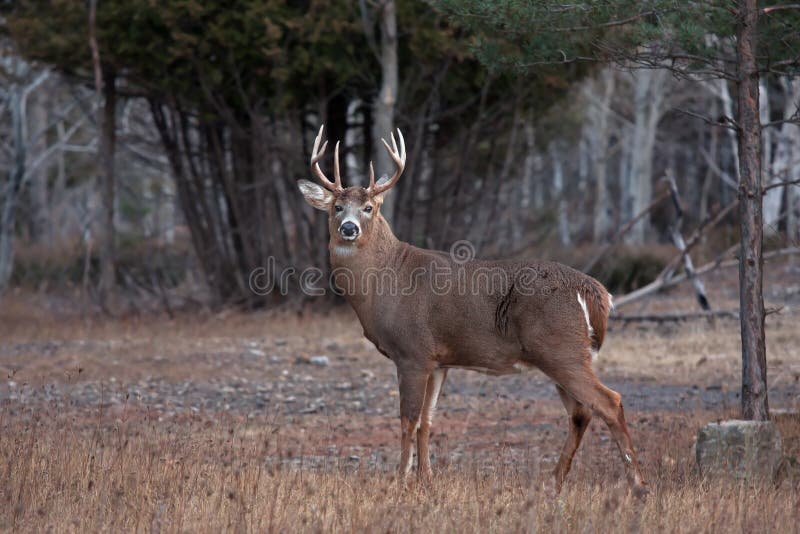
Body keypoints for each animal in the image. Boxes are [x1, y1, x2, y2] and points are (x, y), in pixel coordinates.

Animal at [297, 125, 648, 496]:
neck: (385, 281)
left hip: (561, 349)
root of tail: (595, 292)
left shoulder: (412, 352)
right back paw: (553, 481)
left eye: (368, 207)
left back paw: (637, 484)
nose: (349, 228)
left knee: (609, 402)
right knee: (581, 412)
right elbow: (427, 421)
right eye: (337, 206)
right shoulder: (438, 360)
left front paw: (400, 479)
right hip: (564, 355)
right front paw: (426, 478)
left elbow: (408, 419)